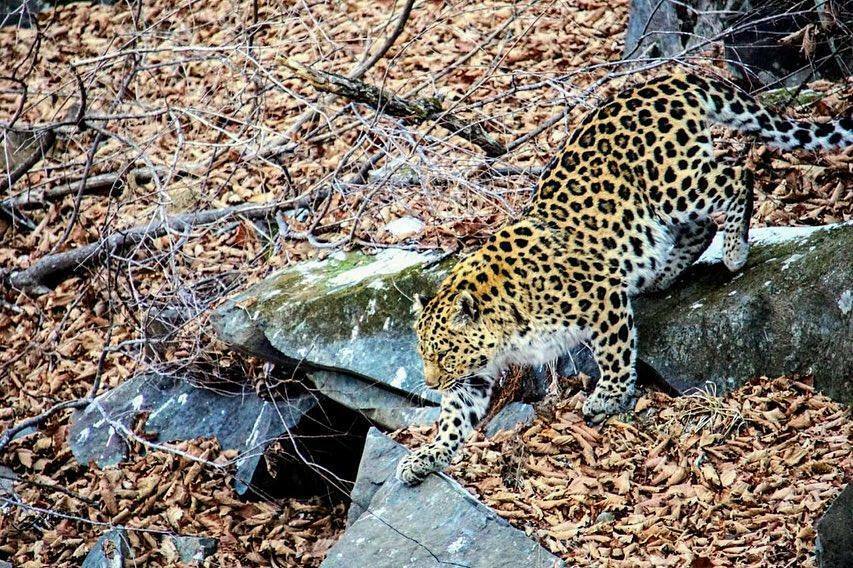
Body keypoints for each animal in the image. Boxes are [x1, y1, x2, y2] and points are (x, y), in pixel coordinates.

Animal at [396, 68, 853, 486]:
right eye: (424, 355)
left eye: (442, 354)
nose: (431, 383)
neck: (503, 327)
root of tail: (668, 79)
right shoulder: (475, 376)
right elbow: (455, 417)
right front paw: (426, 456)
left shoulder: (600, 296)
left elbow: (613, 352)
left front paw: (608, 397)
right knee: (699, 226)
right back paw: (661, 274)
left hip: (674, 183)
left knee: (735, 175)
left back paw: (734, 251)